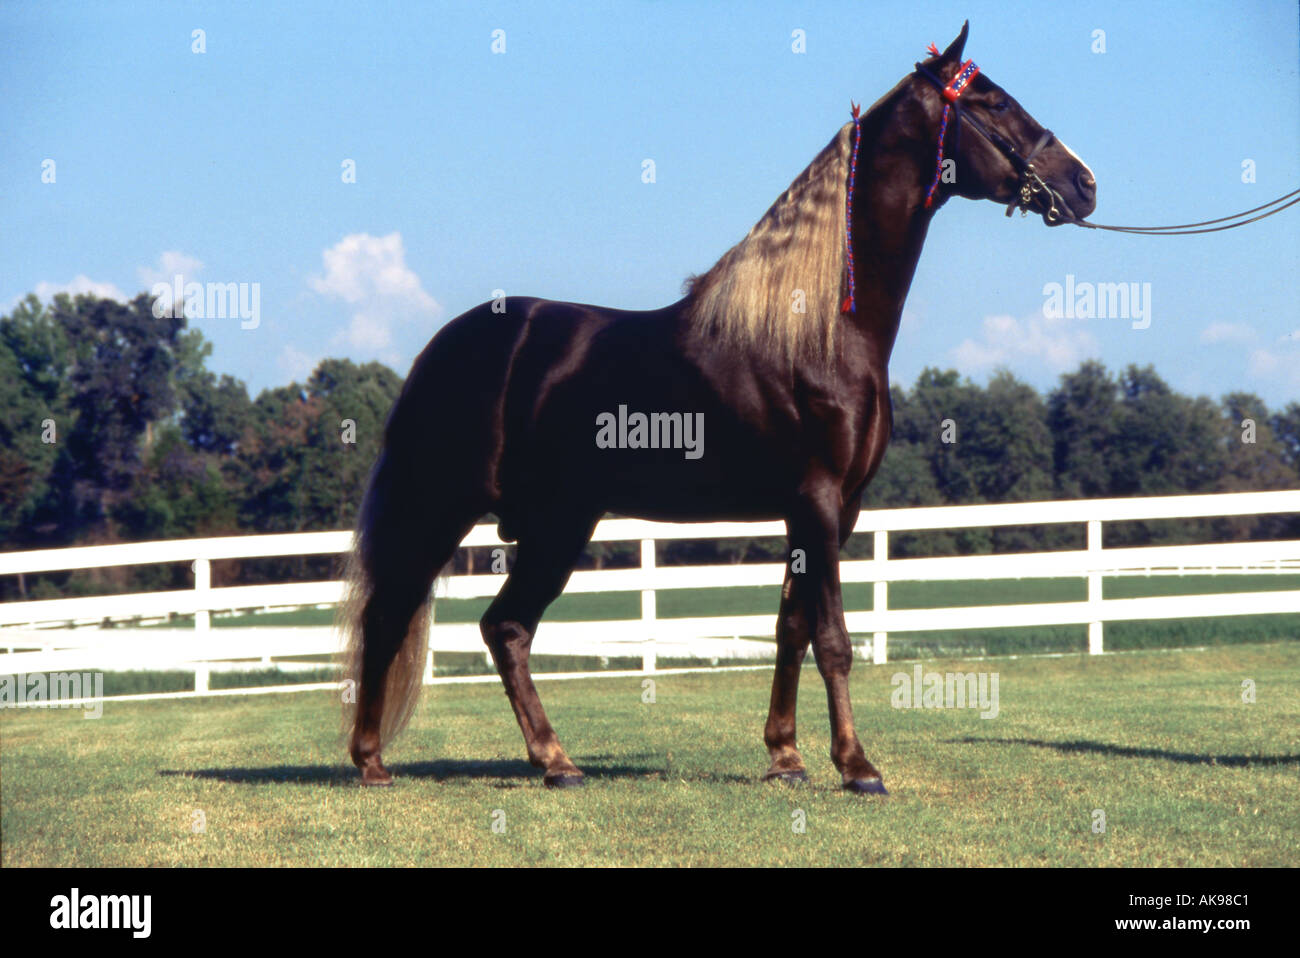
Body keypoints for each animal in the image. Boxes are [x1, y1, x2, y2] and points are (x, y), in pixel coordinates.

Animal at [340, 22, 1097, 793]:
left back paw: (555, 762)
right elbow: (833, 638)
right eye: (993, 102)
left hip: (559, 522)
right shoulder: (819, 500)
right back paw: (374, 761)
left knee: (505, 628)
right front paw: (857, 767)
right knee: (394, 613)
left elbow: (792, 629)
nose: (1083, 183)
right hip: (449, 508)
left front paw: (786, 757)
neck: (819, 329)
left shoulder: (827, 509)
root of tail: (447, 347)